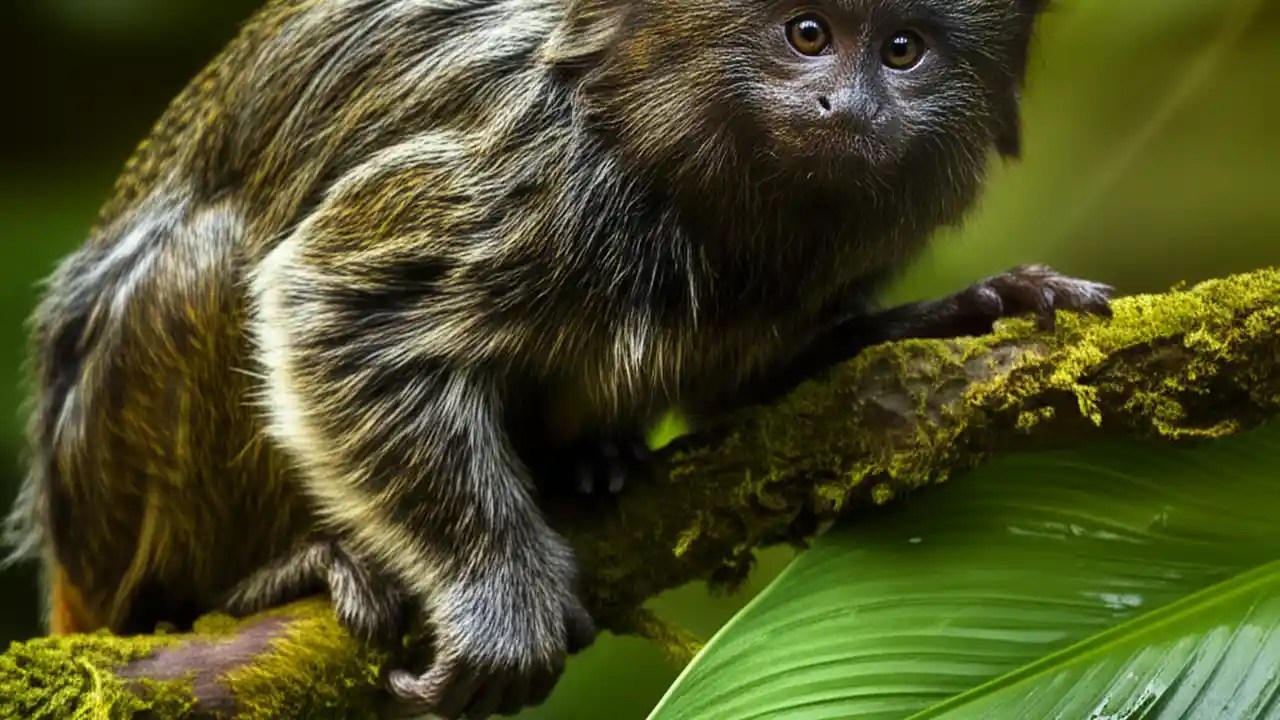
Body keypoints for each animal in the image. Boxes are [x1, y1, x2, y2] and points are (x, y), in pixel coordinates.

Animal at [2, 0, 1115, 717]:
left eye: (902, 50)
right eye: (808, 35)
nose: (850, 109)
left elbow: (752, 381)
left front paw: (947, 318)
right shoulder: (539, 168)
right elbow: (331, 304)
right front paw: (498, 599)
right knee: (211, 256)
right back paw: (273, 574)